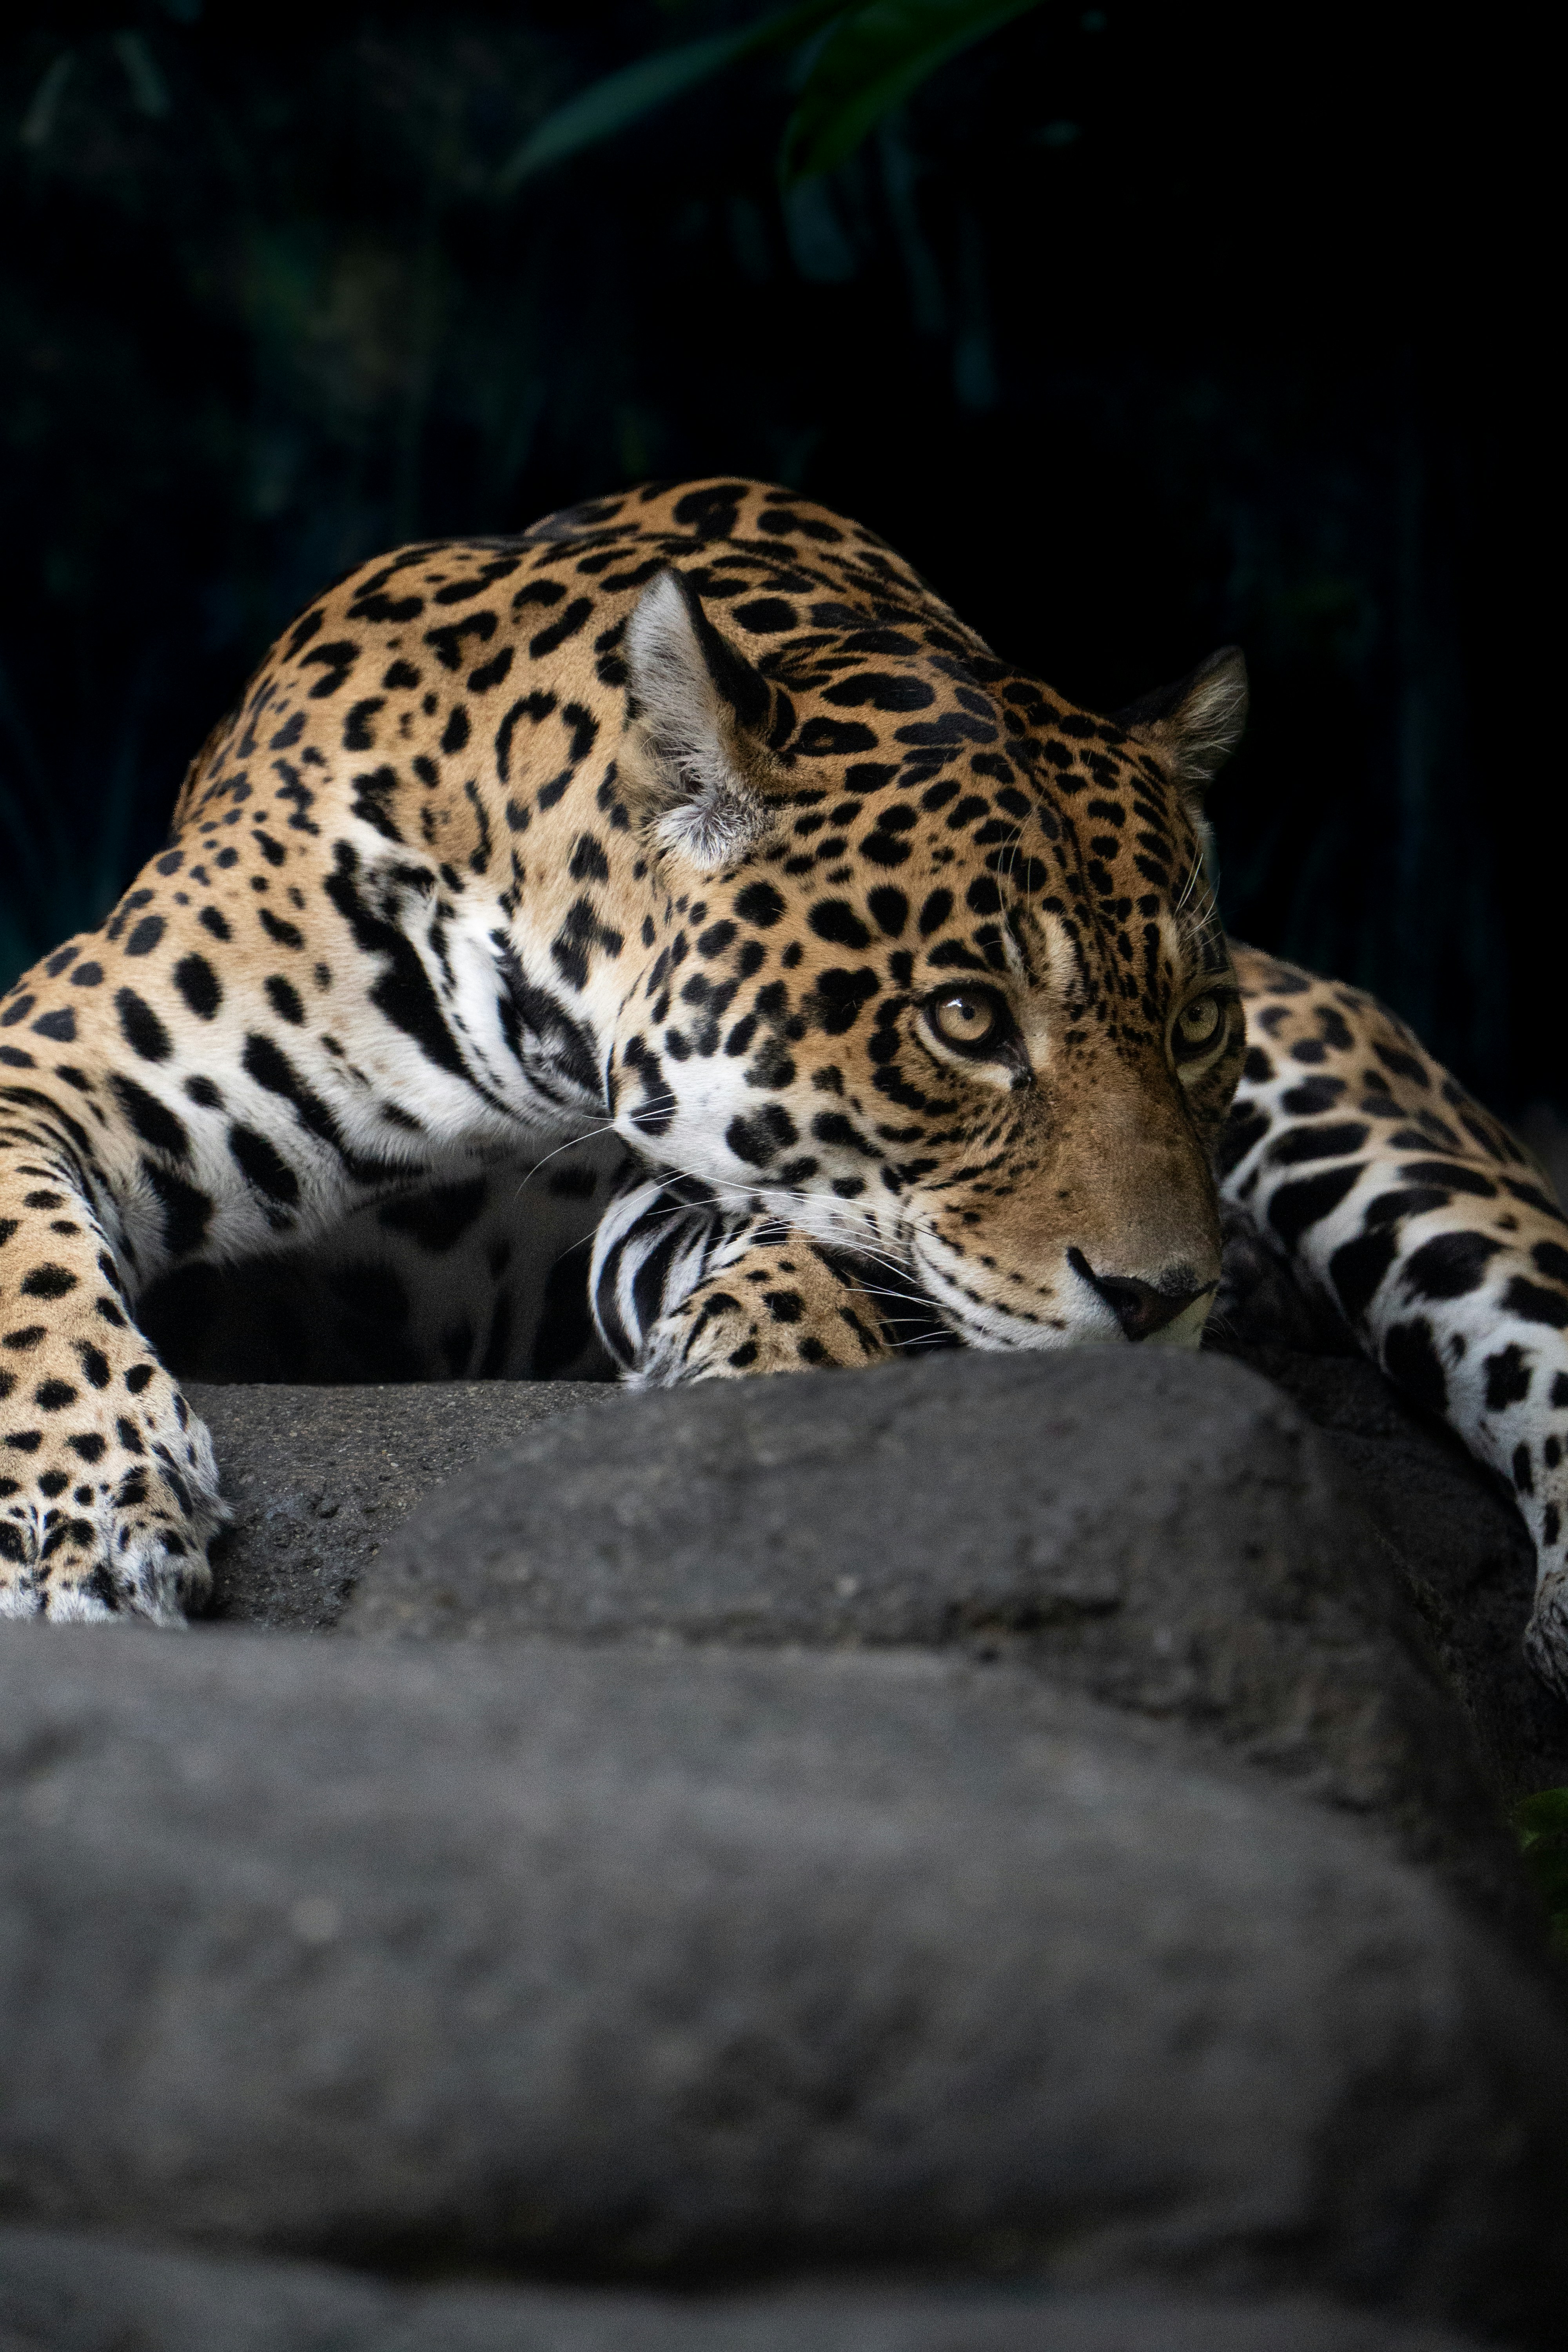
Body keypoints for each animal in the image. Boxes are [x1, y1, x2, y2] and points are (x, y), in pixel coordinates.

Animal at [2, 476, 1565, 1702]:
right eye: (963, 1016)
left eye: (1189, 1025)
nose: (1166, 1299)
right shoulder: (48, 1057)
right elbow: (33, 1272)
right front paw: (89, 1519)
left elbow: (824, 1255)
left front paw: (777, 1387)